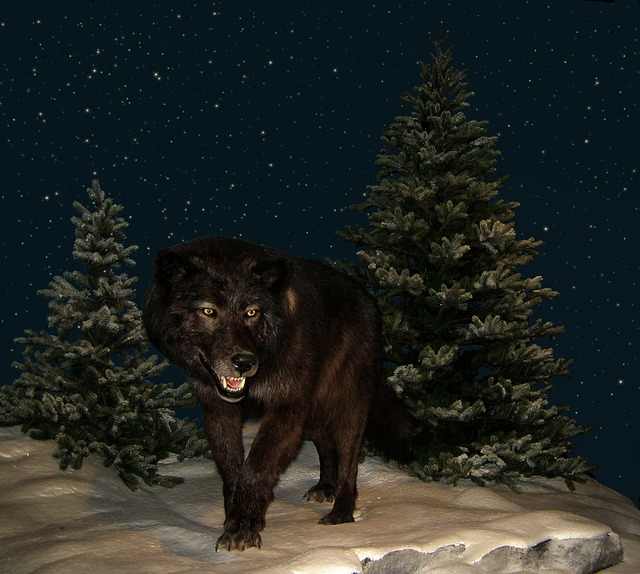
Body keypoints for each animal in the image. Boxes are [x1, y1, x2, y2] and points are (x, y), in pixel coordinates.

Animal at [142, 236, 412, 551]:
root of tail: (369, 301)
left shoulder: (285, 408)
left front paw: (242, 529)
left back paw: (341, 513)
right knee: (326, 447)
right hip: (311, 414)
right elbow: (231, 468)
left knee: (348, 461)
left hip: (347, 406)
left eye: (251, 312)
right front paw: (236, 518)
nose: (244, 362)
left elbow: (256, 467)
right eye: (208, 311)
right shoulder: (218, 410)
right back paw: (325, 487)